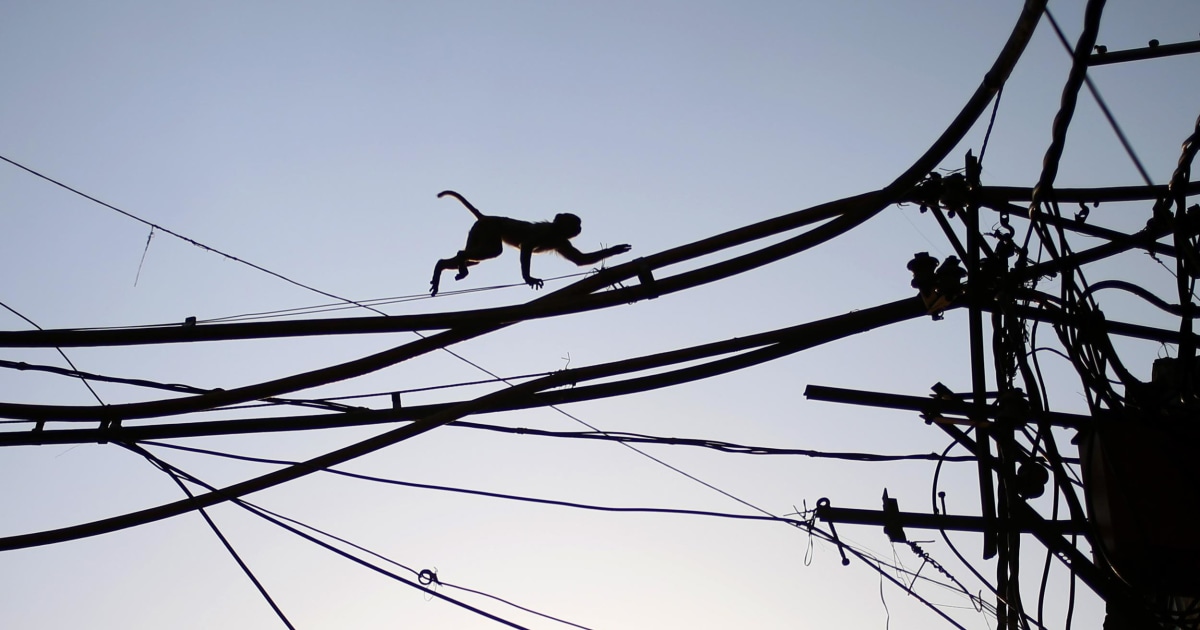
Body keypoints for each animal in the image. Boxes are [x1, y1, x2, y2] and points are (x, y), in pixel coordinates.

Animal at [430, 190, 632, 297]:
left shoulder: (560, 240)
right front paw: (528, 278)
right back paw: (460, 260)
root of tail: (486, 217)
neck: (555, 231)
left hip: (477, 232)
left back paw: (445, 265)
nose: (580, 228)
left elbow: (580, 260)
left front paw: (617, 249)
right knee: (493, 251)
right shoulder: (547, 234)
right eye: (576, 223)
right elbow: (527, 245)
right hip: (488, 230)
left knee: (477, 256)